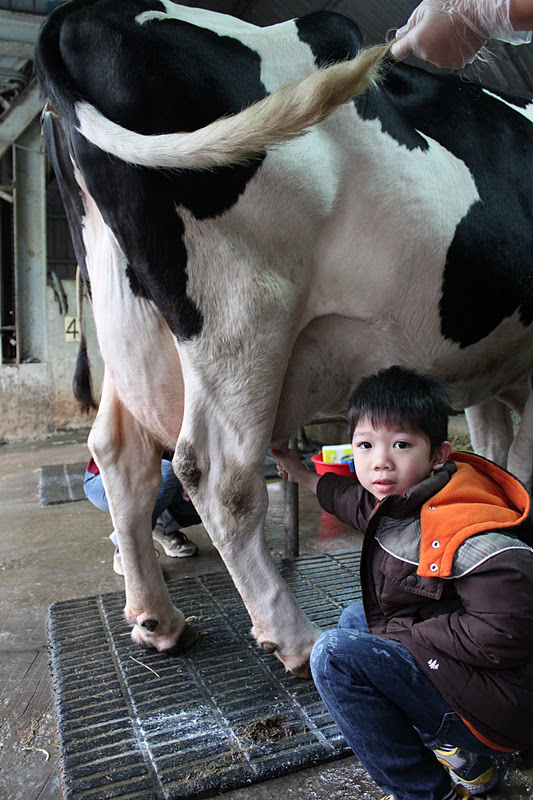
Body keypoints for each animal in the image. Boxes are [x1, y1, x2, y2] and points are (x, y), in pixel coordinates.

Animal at [36, 0, 533, 676]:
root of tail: (86, 13)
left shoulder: (490, 371)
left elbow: (494, 450)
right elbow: (524, 464)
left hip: (127, 315)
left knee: (121, 455)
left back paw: (157, 620)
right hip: (245, 309)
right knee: (217, 475)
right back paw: (294, 636)